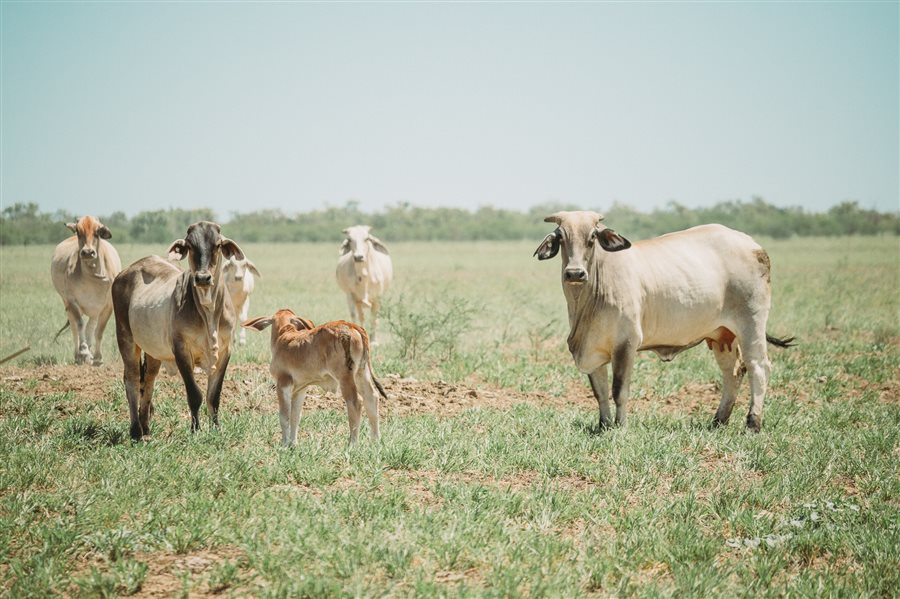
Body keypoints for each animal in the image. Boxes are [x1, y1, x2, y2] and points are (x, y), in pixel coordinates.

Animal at [50, 216, 122, 366]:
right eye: (78, 231)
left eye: (97, 232)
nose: (88, 252)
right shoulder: (72, 301)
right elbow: (80, 324)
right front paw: (83, 352)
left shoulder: (107, 306)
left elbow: (99, 331)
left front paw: (98, 357)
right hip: (66, 303)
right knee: (74, 328)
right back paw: (79, 354)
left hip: (95, 309)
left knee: (92, 326)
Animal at [112, 221, 244, 440]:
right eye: (189, 245)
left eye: (217, 245)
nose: (203, 277)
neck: (208, 311)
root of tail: (125, 272)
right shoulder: (181, 350)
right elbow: (195, 394)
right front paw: (195, 430)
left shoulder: (226, 351)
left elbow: (214, 396)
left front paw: (216, 429)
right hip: (125, 337)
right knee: (131, 379)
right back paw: (136, 430)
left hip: (153, 351)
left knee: (149, 380)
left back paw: (146, 427)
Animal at [242, 309, 387, 447]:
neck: (284, 337)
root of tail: (351, 326)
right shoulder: (301, 388)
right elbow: (295, 416)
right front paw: (293, 443)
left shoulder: (283, 382)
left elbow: (284, 416)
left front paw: (284, 443)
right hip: (361, 373)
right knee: (371, 398)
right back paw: (375, 441)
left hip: (345, 377)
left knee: (355, 402)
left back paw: (352, 444)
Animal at [534, 211, 794, 432]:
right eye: (562, 237)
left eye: (592, 238)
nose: (575, 273)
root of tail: (753, 244)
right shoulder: (594, 349)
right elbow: (600, 392)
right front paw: (604, 425)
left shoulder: (626, 344)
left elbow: (619, 390)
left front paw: (620, 427)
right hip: (722, 335)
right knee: (733, 372)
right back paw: (718, 420)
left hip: (752, 323)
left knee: (758, 368)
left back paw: (752, 424)